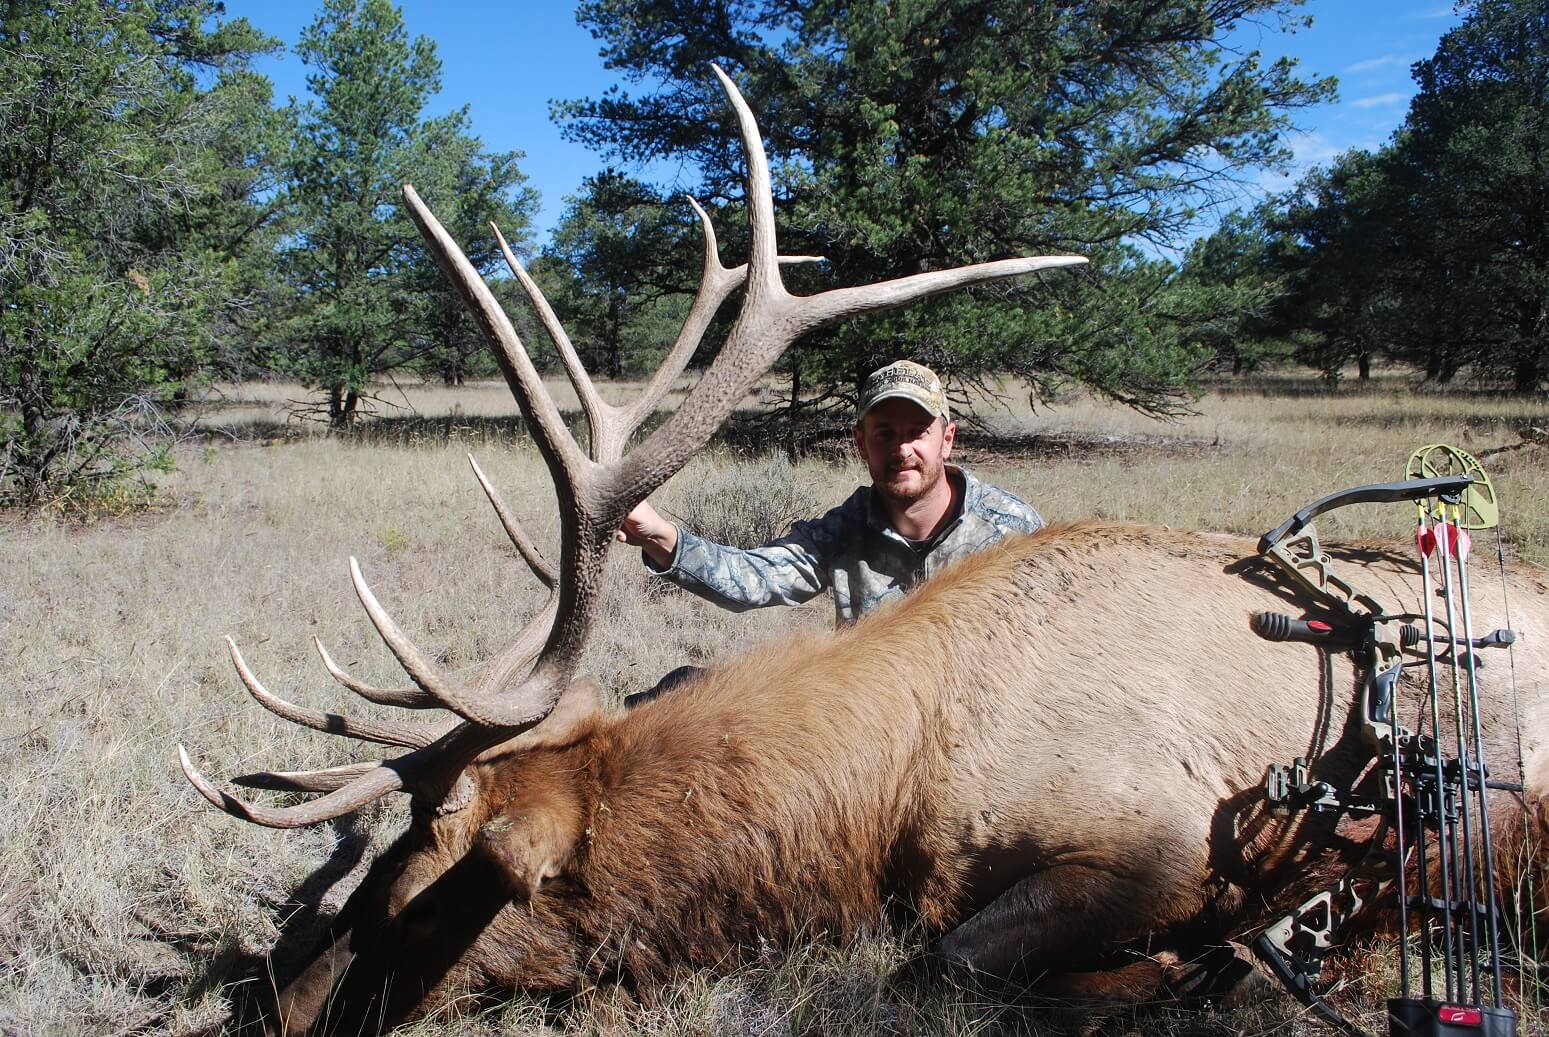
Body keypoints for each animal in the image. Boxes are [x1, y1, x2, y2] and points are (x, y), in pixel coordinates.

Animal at [177, 67, 1549, 1036]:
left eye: (414, 888)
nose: (269, 1005)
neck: (880, 797)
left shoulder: (1163, 834)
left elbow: (945, 955)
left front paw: (1201, 968)